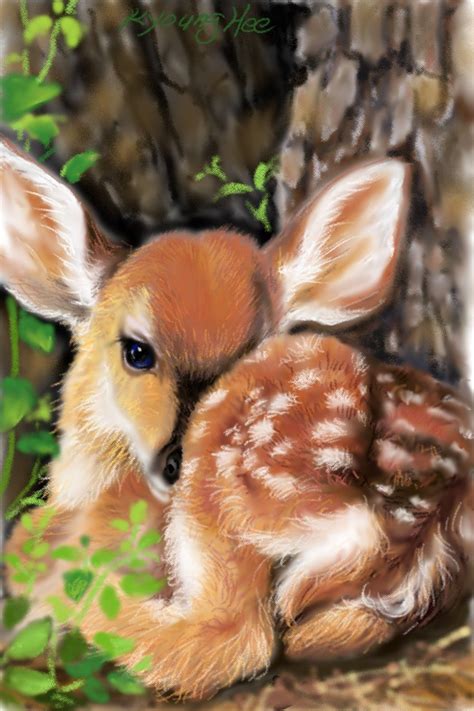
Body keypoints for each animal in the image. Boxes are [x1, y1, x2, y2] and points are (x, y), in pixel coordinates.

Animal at [1, 138, 472, 700]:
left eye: (252, 346)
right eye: (137, 351)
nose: (172, 464)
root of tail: (418, 530)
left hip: (229, 476)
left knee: (238, 638)